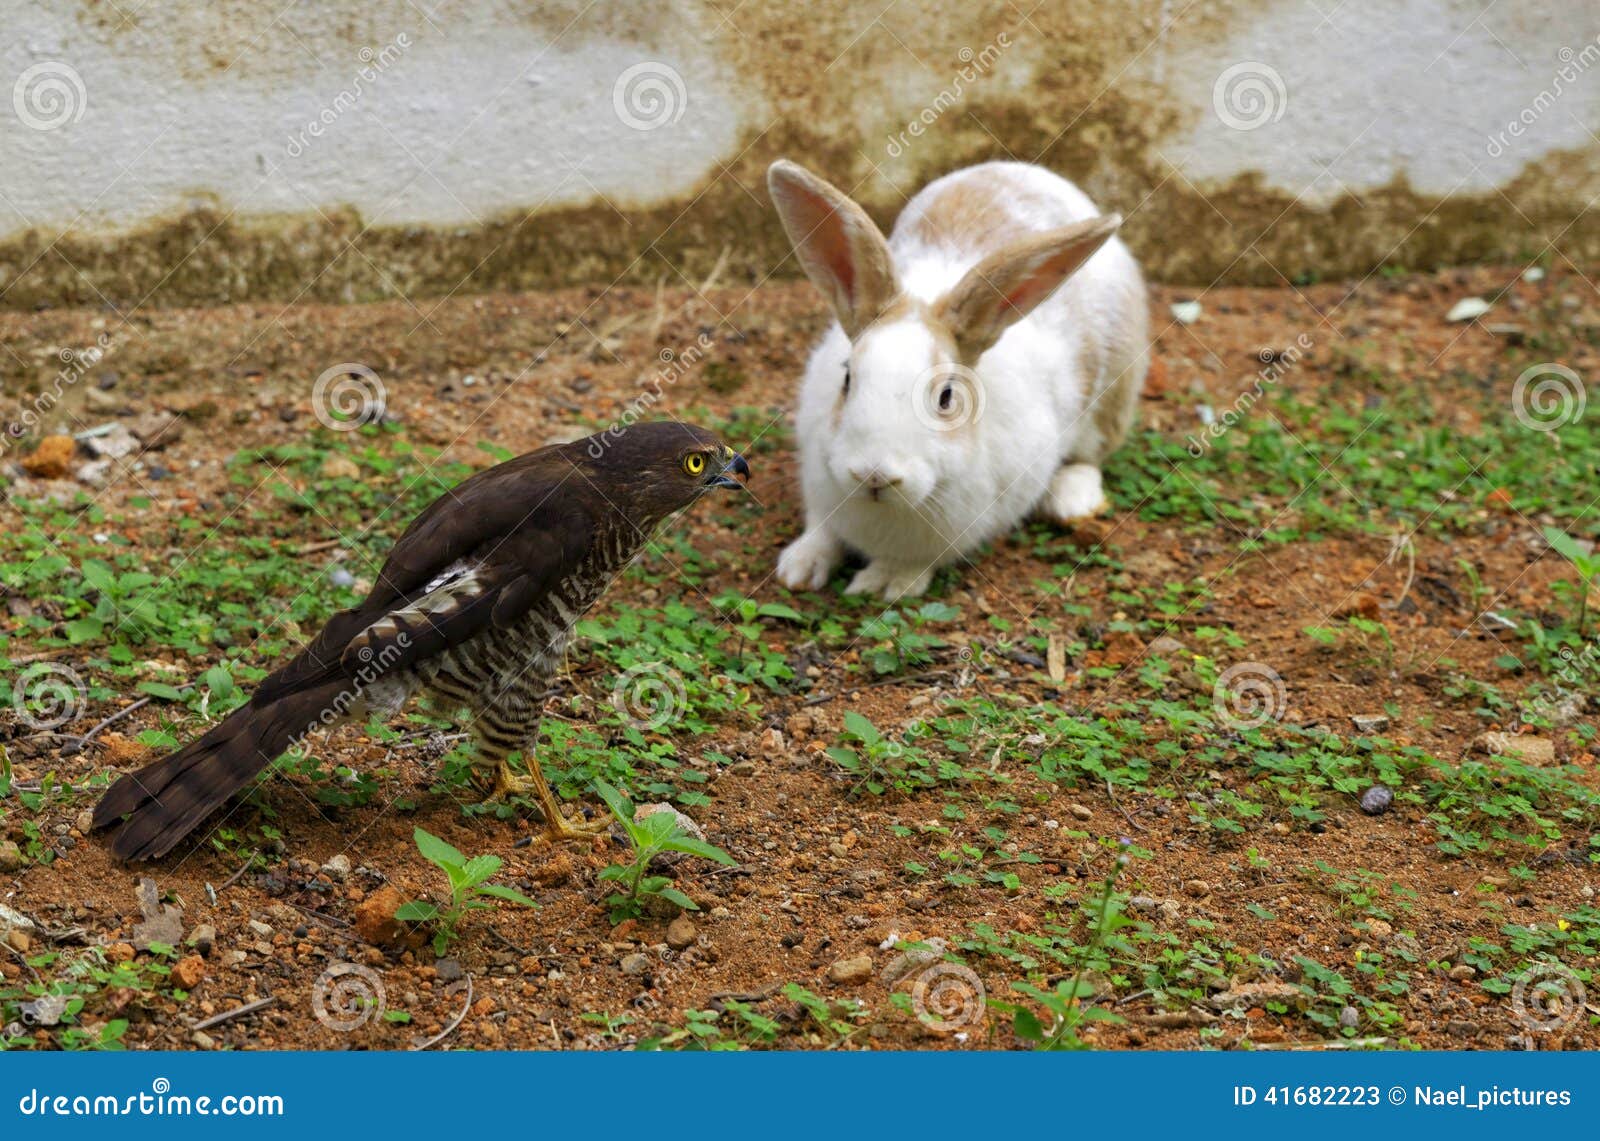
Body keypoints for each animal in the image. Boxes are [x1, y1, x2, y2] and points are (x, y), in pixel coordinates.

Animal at [768, 159, 1149, 600]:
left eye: (946, 397)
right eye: (847, 379)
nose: (873, 475)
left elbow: (917, 562)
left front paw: (885, 584)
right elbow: (822, 529)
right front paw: (799, 567)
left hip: (1111, 397)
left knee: (1091, 455)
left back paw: (1072, 499)